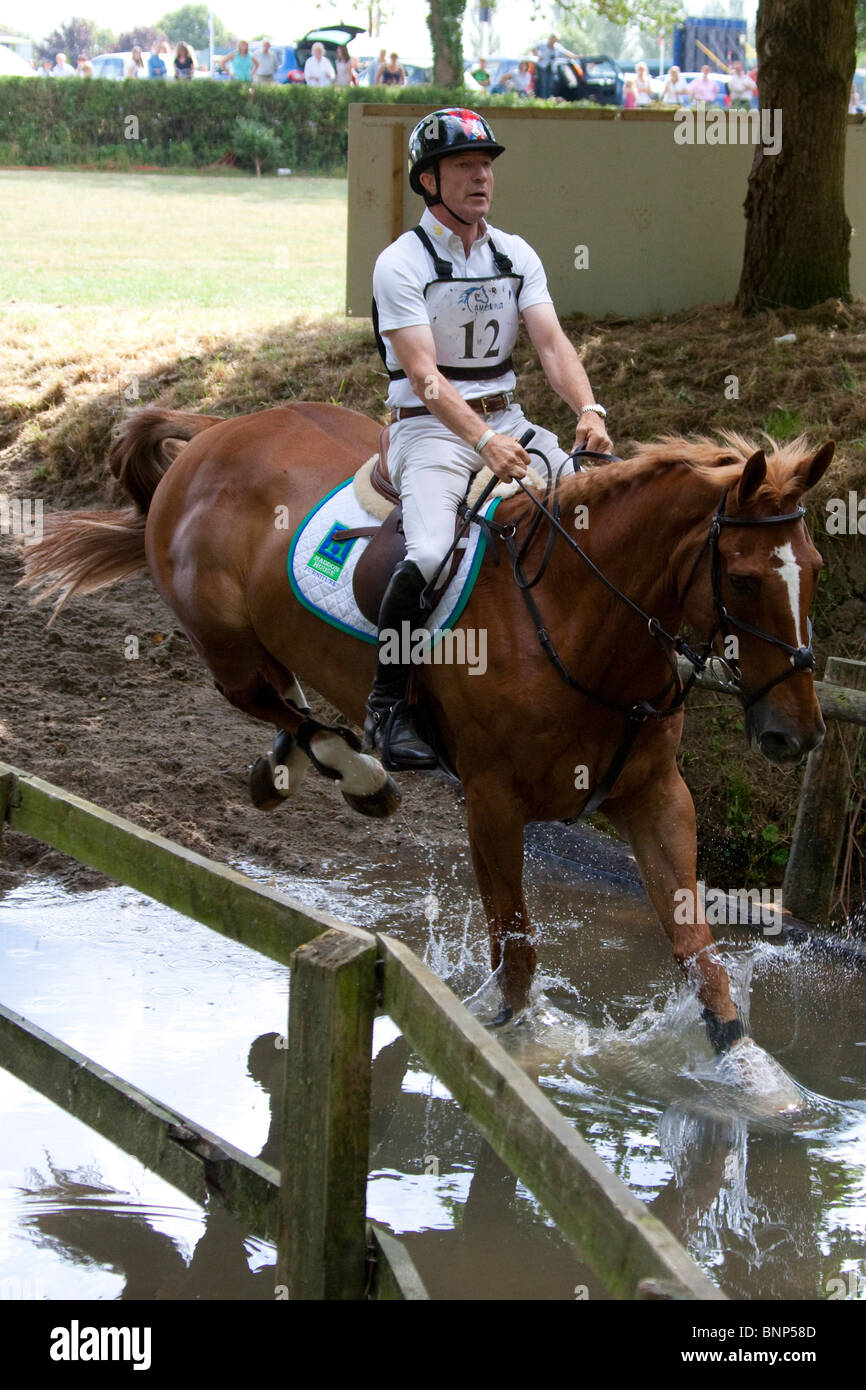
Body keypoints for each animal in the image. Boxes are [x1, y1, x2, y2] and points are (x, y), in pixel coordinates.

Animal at [20, 402, 834, 1072]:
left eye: (817, 569)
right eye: (745, 579)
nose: (798, 735)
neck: (581, 619)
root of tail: (216, 433)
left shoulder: (658, 796)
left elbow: (699, 954)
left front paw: (746, 1077)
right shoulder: (494, 805)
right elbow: (516, 956)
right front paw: (512, 1045)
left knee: (287, 703)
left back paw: (288, 770)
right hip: (223, 643)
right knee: (268, 701)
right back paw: (360, 773)